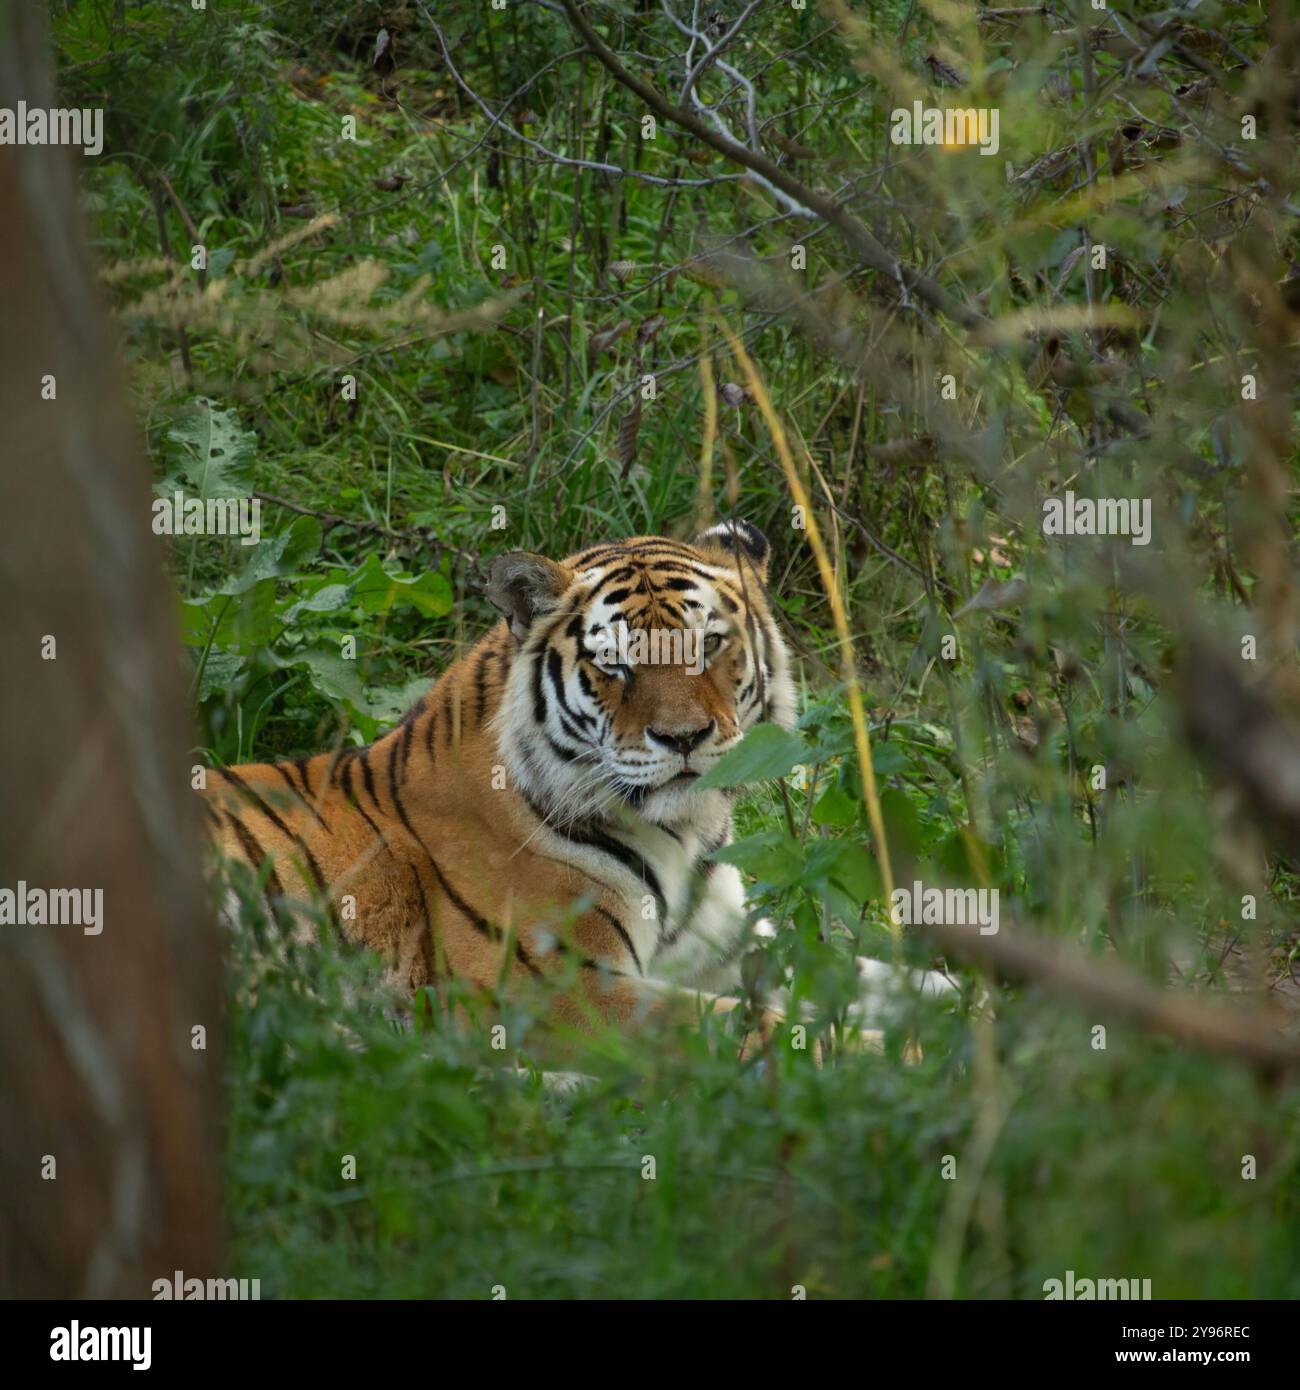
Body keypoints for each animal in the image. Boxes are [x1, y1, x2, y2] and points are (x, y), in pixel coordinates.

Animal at [201, 519, 810, 1057]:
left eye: (709, 644)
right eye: (613, 661)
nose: (682, 737)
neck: (684, 834)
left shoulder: (732, 948)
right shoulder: (554, 989)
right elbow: (754, 1028)